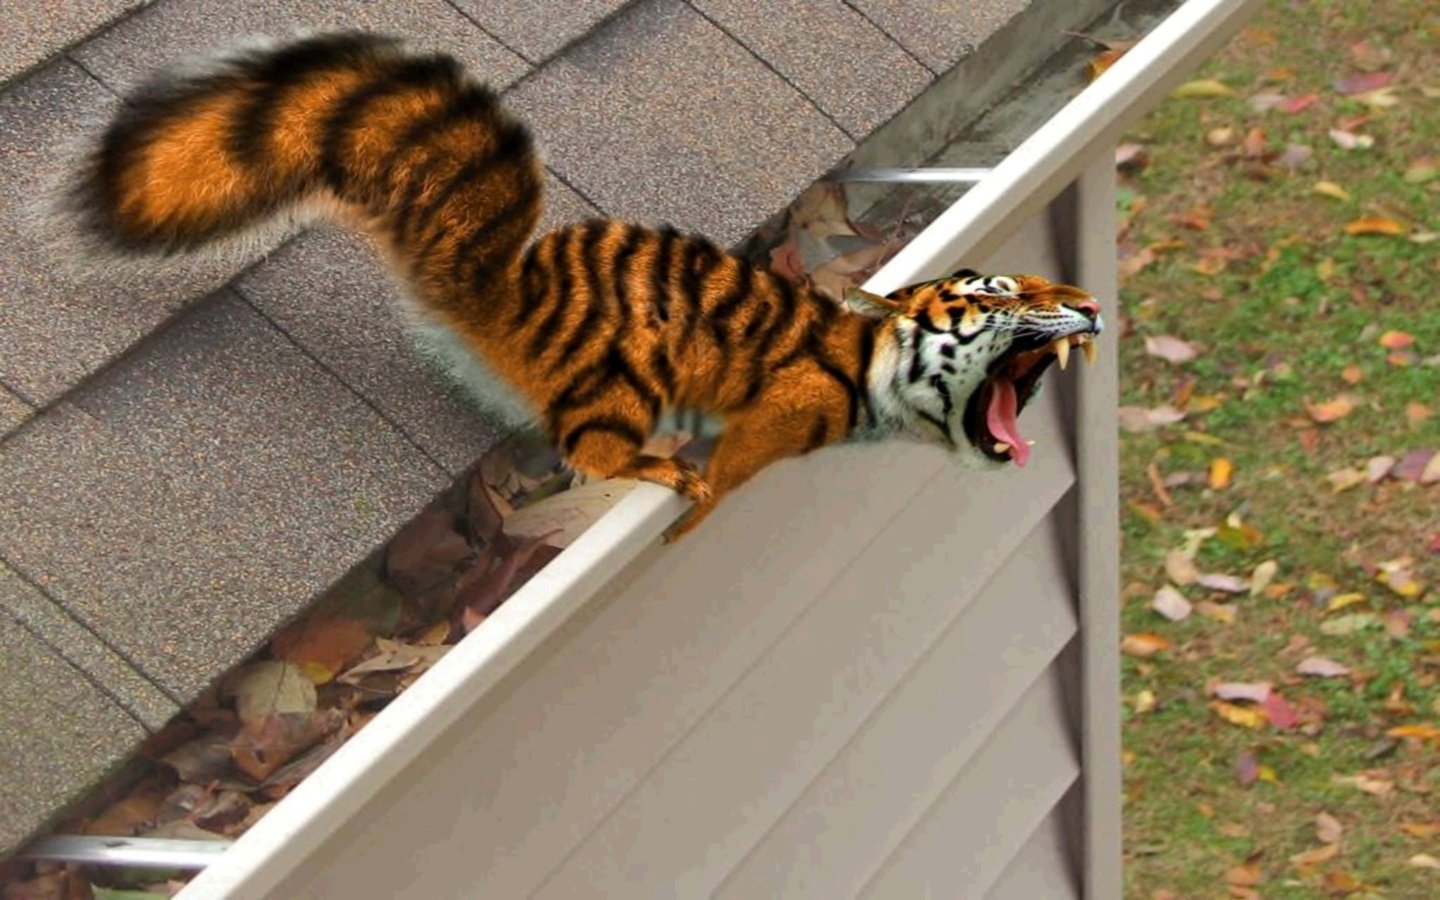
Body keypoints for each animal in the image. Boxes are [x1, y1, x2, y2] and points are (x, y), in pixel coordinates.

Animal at [63, 31, 1102, 539]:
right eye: (997, 297)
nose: (1089, 311)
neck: (868, 365)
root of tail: (501, 306)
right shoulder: (783, 404)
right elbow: (742, 455)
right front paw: (707, 493)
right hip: (620, 375)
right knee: (593, 449)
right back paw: (654, 465)